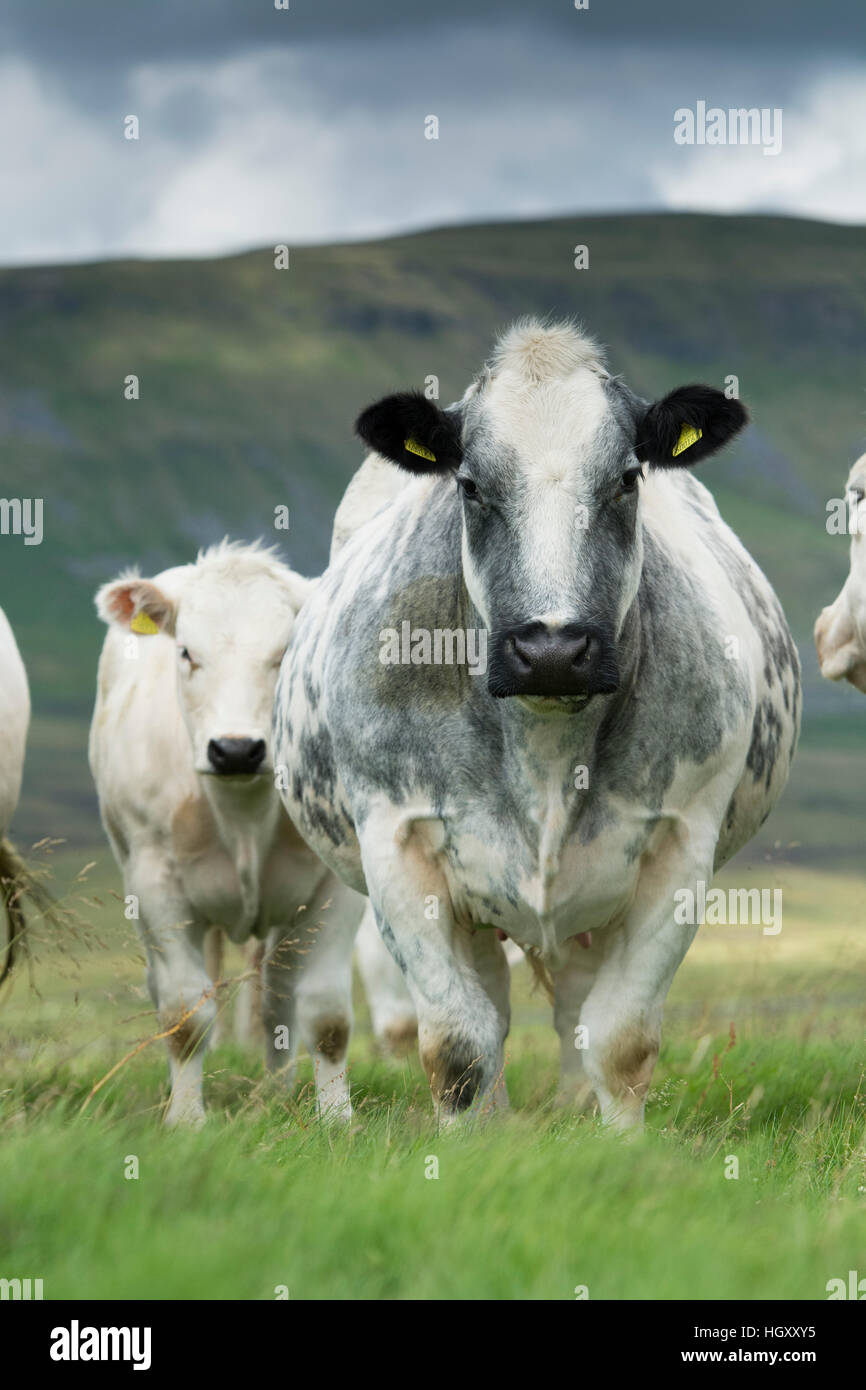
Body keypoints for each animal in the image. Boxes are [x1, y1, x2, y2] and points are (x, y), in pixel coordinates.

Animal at [89, 541, 366, 1126]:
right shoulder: (156, 887)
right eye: (186, 652)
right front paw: (186, 1120)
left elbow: (325, 1013)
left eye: (284, 653)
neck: (242, 817)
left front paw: (337, 1120)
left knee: (276, 995)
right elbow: (185, 1013)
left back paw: (279, 1091)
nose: (236, 749)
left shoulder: (336, 887)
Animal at [274, 318, 800, 1129]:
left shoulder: (680, 845)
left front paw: (619, 1145)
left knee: (574, 1011)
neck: (546, 747)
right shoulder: (397, 844)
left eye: (627, 479)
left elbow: (620, 1043)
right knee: (490, 1010)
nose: (552, 648)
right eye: (470, 484)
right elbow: (457, 1046)